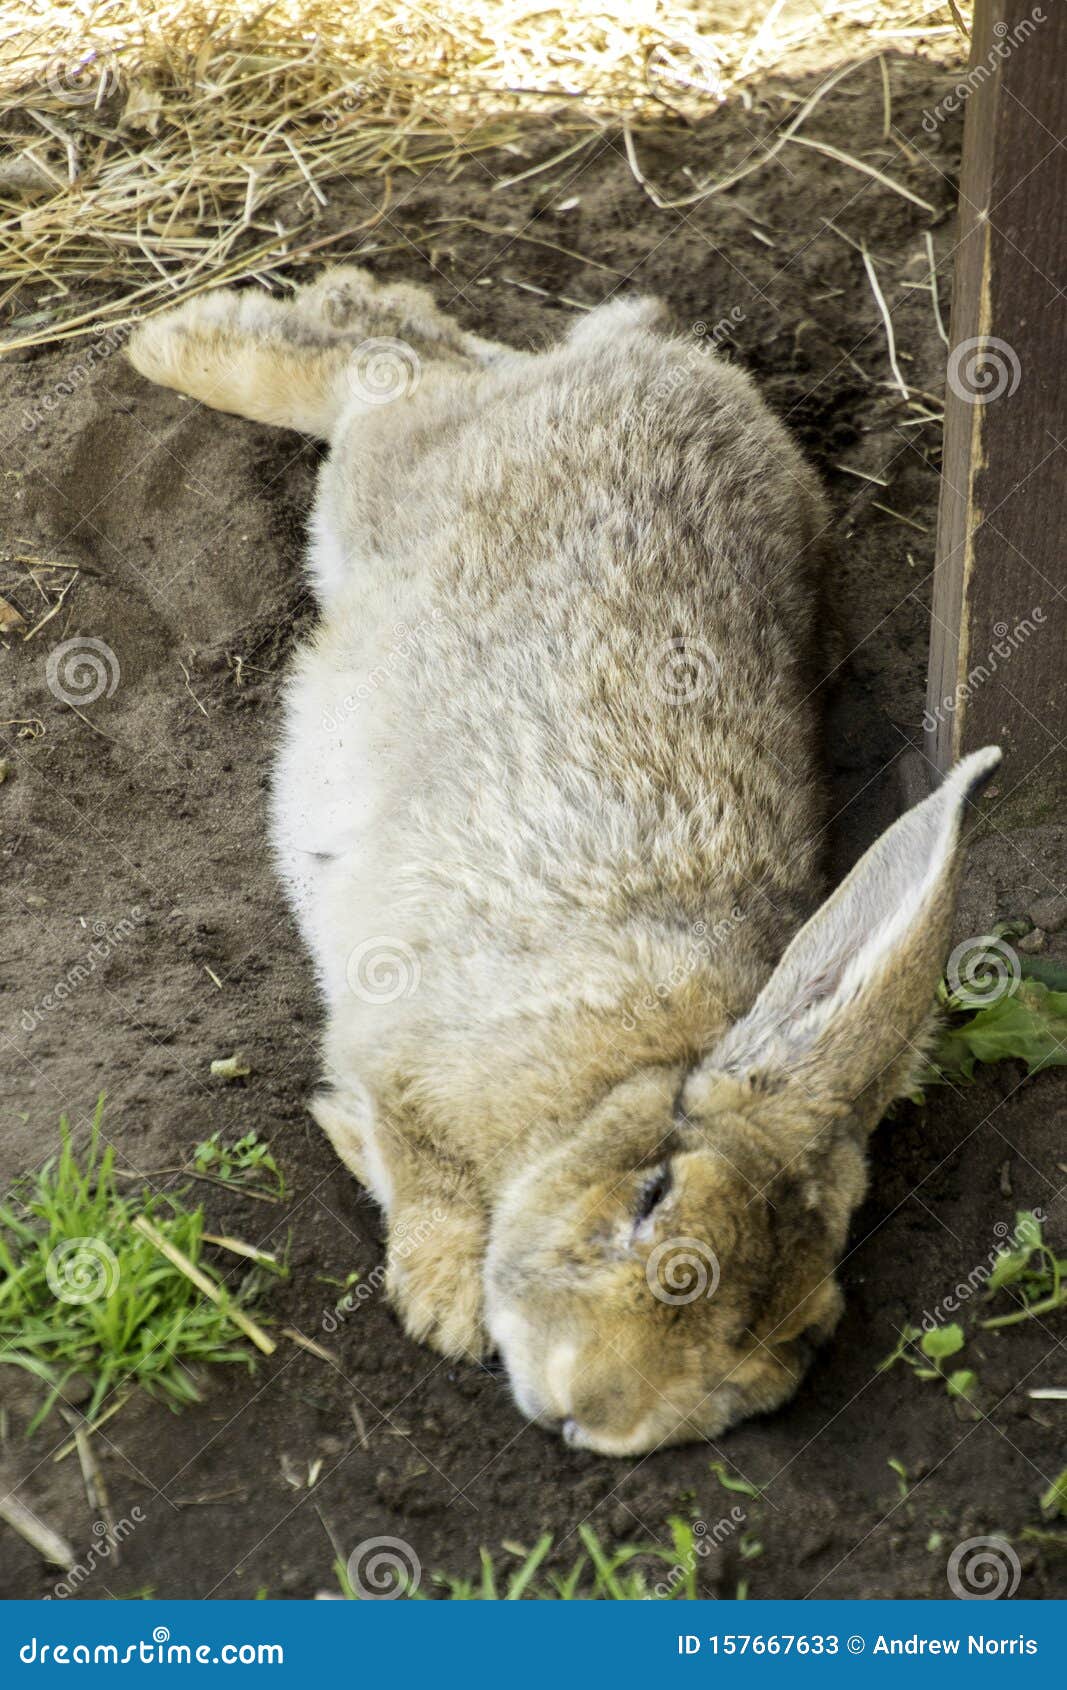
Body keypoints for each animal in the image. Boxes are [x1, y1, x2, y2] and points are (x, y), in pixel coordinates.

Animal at [128, 267, 999, 1456]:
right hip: (383, 485)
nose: (596, 1409)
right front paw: (443, 1304)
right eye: (649, 1198)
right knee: (381, 357)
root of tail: (659, 356)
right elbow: (421, 1167)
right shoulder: (412, 1060)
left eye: (791, 1342)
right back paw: (171, 345)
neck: (600, 1095)